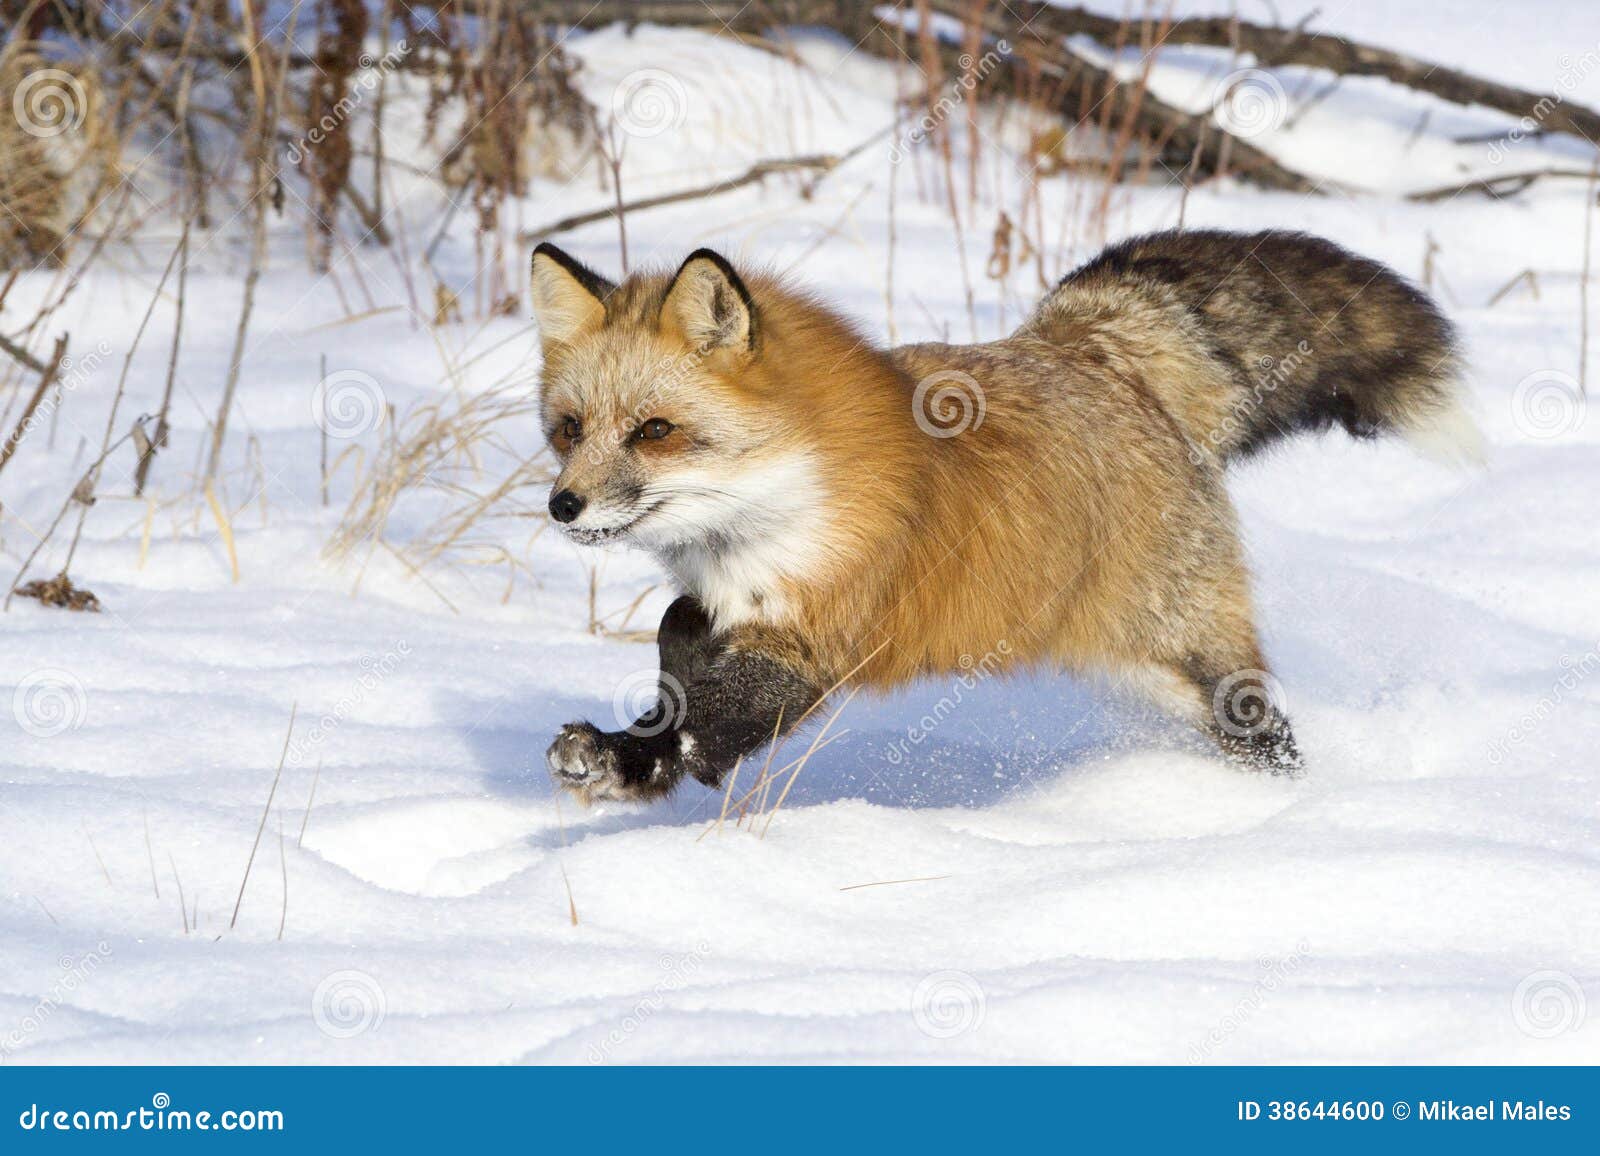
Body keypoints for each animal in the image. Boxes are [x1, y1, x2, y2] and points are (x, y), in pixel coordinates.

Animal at [530, 229, 1479, 805]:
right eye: (569, 429)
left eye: (654, 431)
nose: (562, 505)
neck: (781, 507)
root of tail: (1091, 347)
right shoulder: (724, 601)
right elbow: (673, 636)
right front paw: (640, 751)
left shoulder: (824, 636)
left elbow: (710, 721)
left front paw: (630, 760)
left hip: (1187, 664)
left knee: (1266, 730)